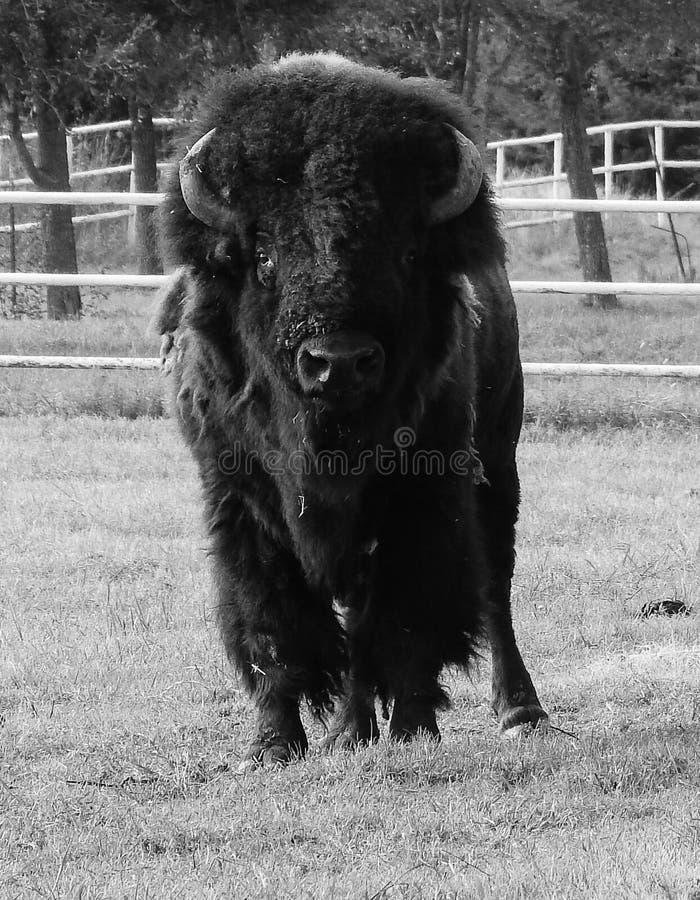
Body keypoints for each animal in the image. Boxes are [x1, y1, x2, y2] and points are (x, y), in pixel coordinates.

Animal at [154, 53, 547, 768]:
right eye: (264, 255)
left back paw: (517, 712)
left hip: (500, 460)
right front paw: (273, 746)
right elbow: (272, 621)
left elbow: (408, 616)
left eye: (407, 252)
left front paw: (414, 727)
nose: (337, 362)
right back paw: (348, 730)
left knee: (492, 589)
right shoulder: (237, 497)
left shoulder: (422, 497)